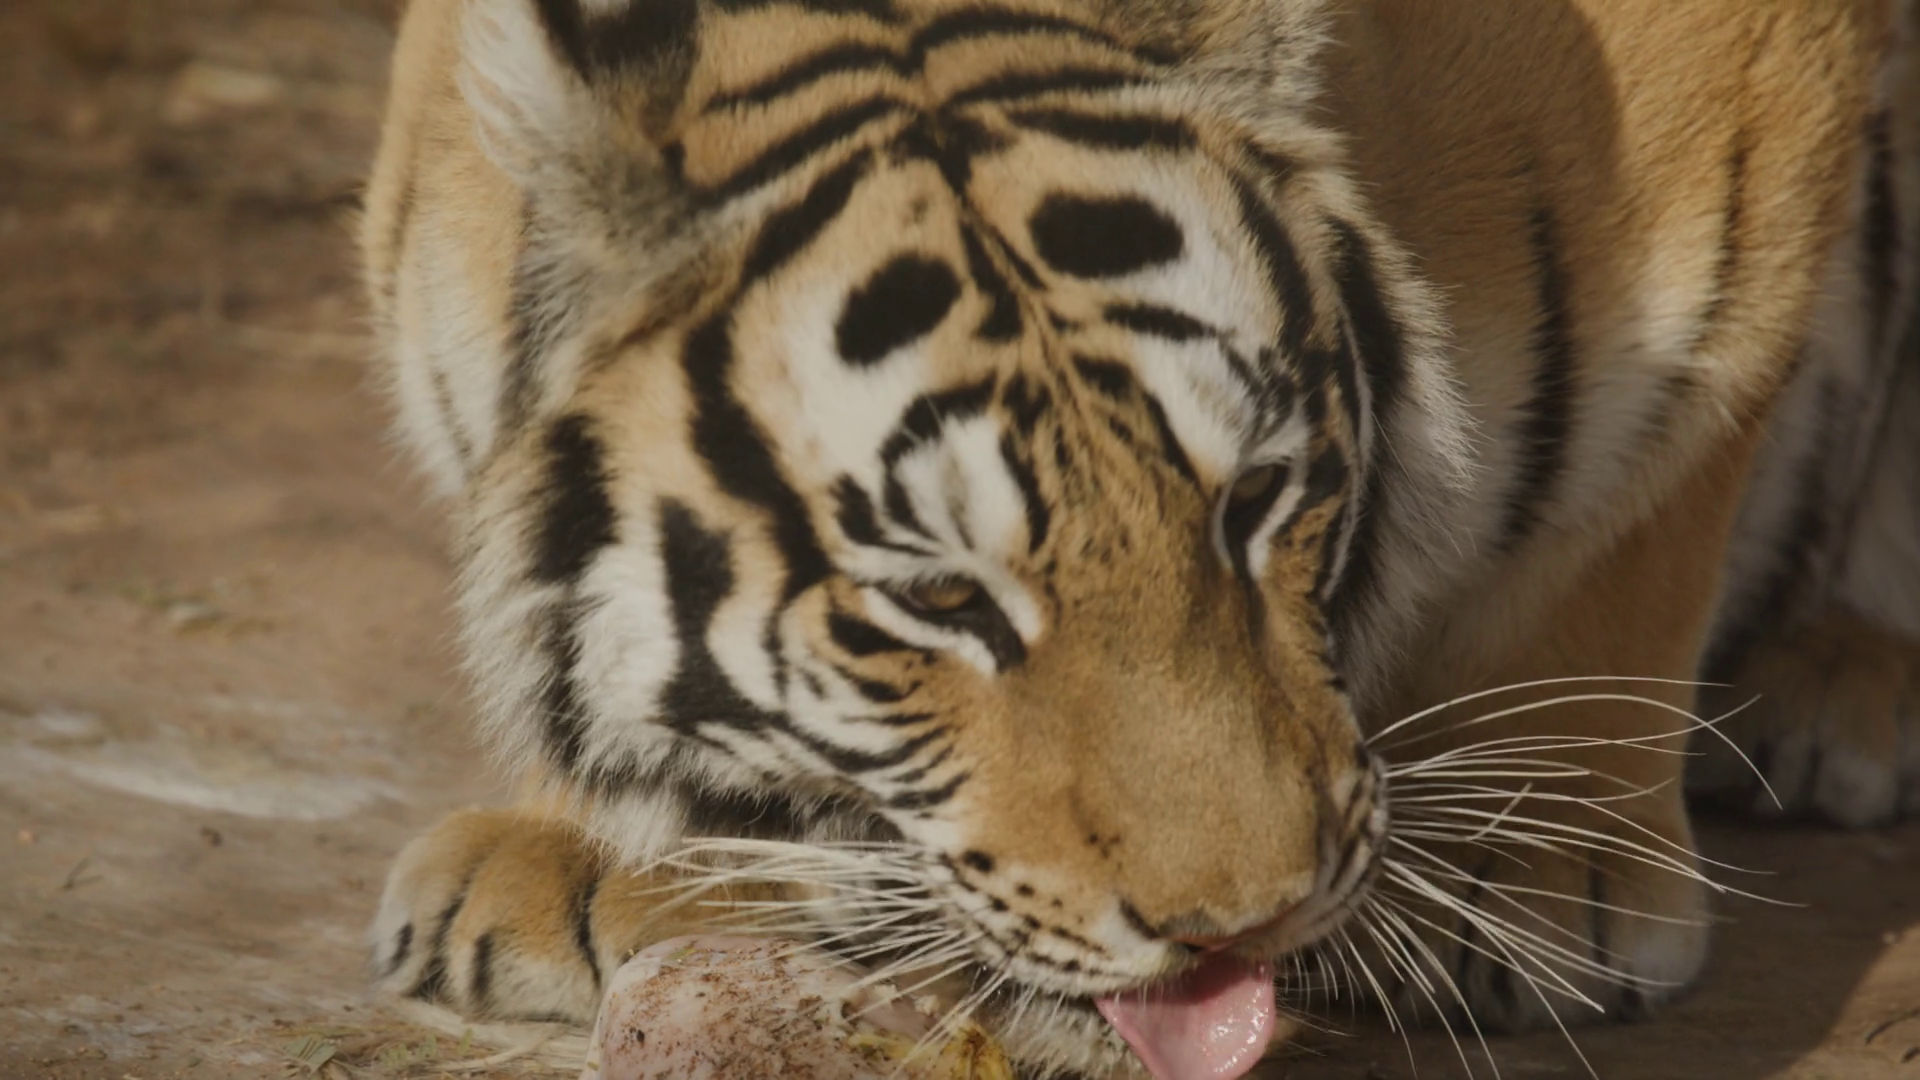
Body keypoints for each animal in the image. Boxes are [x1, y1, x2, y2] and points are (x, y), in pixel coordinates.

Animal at [355, 0, 1920, 1075]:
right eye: (939, 598)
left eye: (1255, 499)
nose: (1238, 925)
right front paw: (582, 850)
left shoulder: (1731, 197)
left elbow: (1625, 538)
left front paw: (1531, 871)